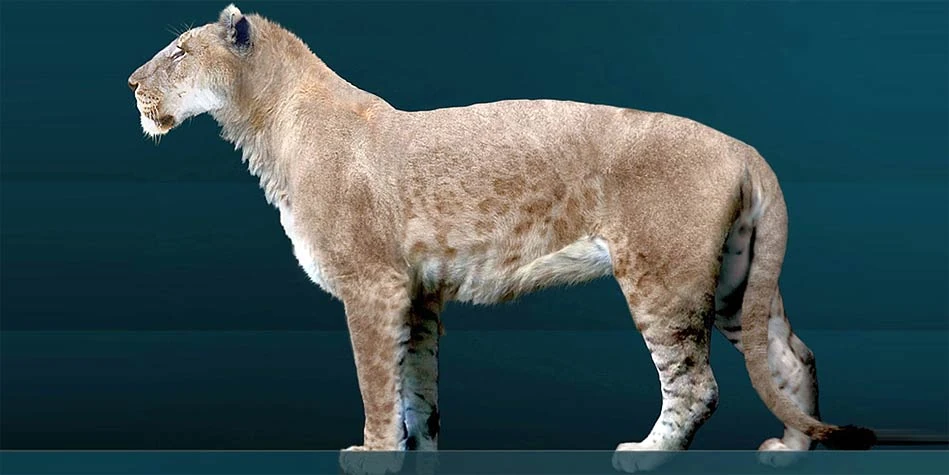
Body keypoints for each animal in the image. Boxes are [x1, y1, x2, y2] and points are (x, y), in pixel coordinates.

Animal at [128, 4, 882, 473]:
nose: (132, 81)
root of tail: (742, 145)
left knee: (697, 385)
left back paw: (645, 452)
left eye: (178, 52)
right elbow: (417, 387)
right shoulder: (418, 292)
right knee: (791, 355)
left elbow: (375, 380)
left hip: (661, 278)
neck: (268, 126)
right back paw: (791, 446)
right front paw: (418, 450)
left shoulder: (373, 285)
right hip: (734, 279)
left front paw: (372, 454)